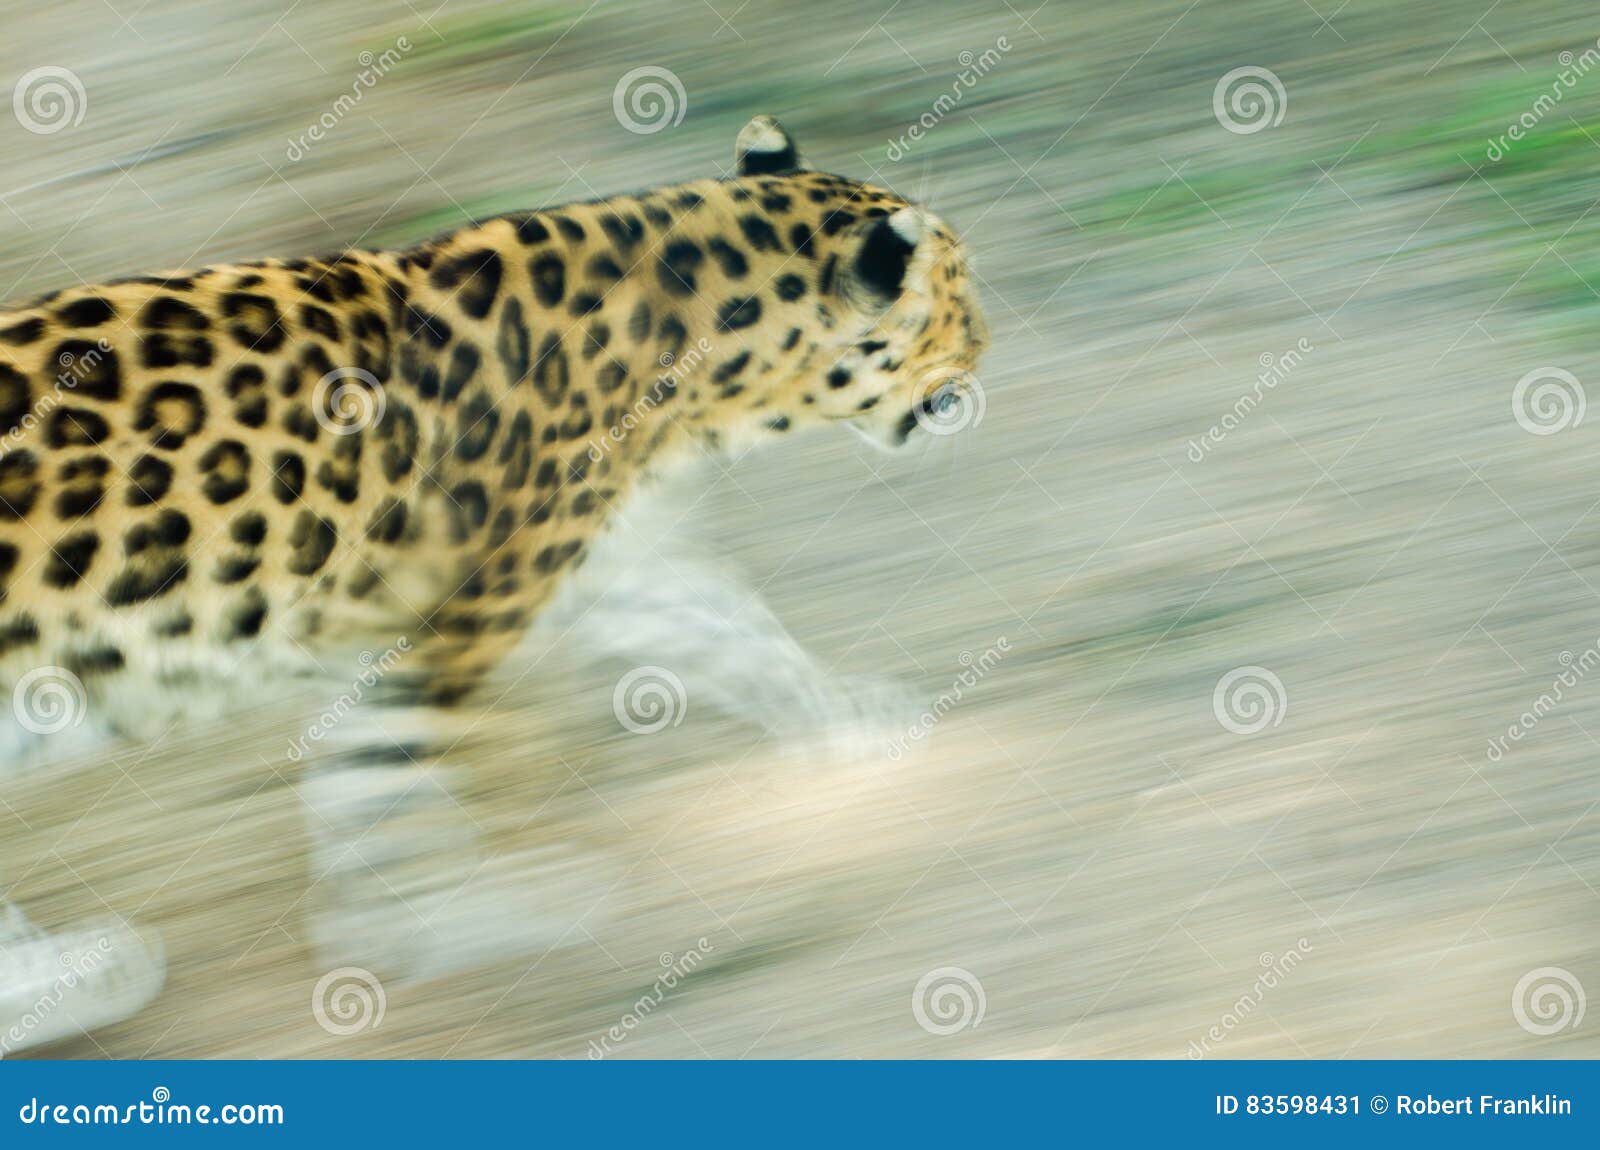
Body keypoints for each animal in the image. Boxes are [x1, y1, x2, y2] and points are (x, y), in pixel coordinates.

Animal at [0, 115, 989, 988]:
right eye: (959, 298)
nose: (989, 348)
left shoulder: (607, 567)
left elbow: (729, 627)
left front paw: (857, 713)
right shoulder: (438, 628)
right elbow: (382, 801)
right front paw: (468, 922)